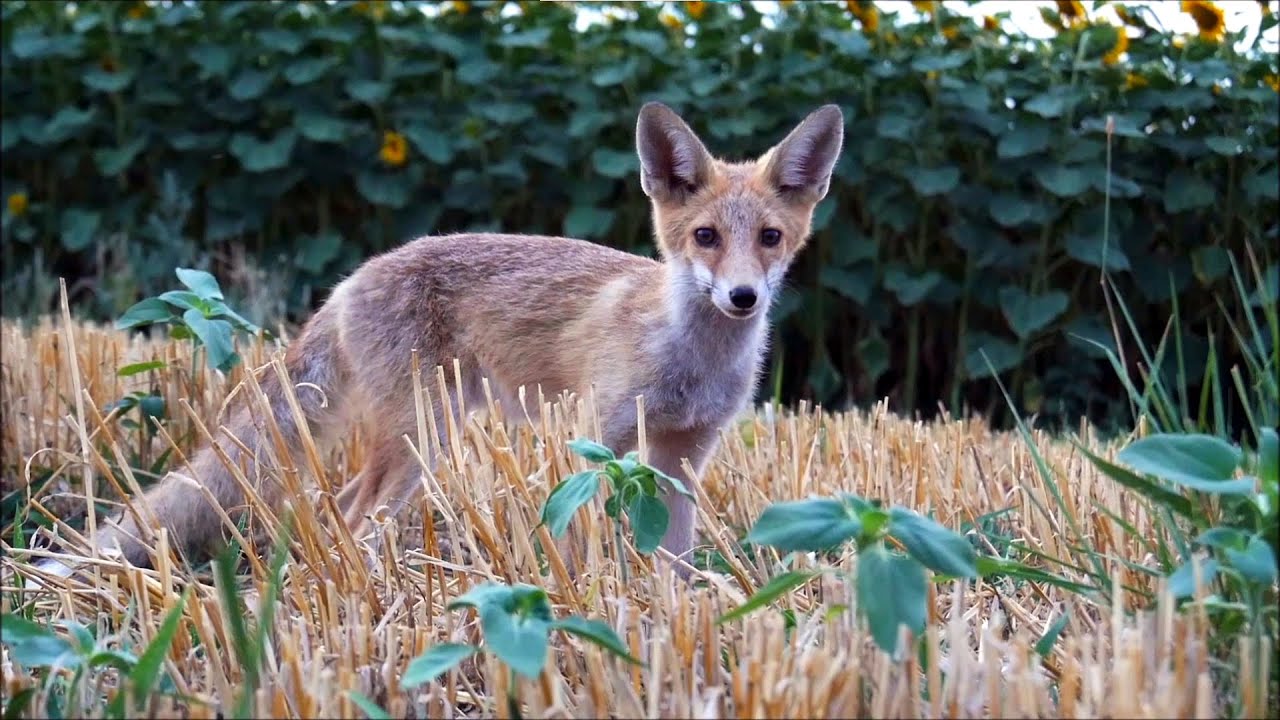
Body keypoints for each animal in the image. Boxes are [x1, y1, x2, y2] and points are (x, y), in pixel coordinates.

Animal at [34, 101, 844, 580]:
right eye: (705, 237)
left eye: (770, 239)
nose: (742, 298)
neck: (690, 360)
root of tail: (352, 278)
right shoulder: (594, 440)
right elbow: (576, 538)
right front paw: (574, 609)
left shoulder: (682, 457)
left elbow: (673, 561)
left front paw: (663, 611)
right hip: (422, 435)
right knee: (349, 511)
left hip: (425, 436)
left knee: (337, 506)